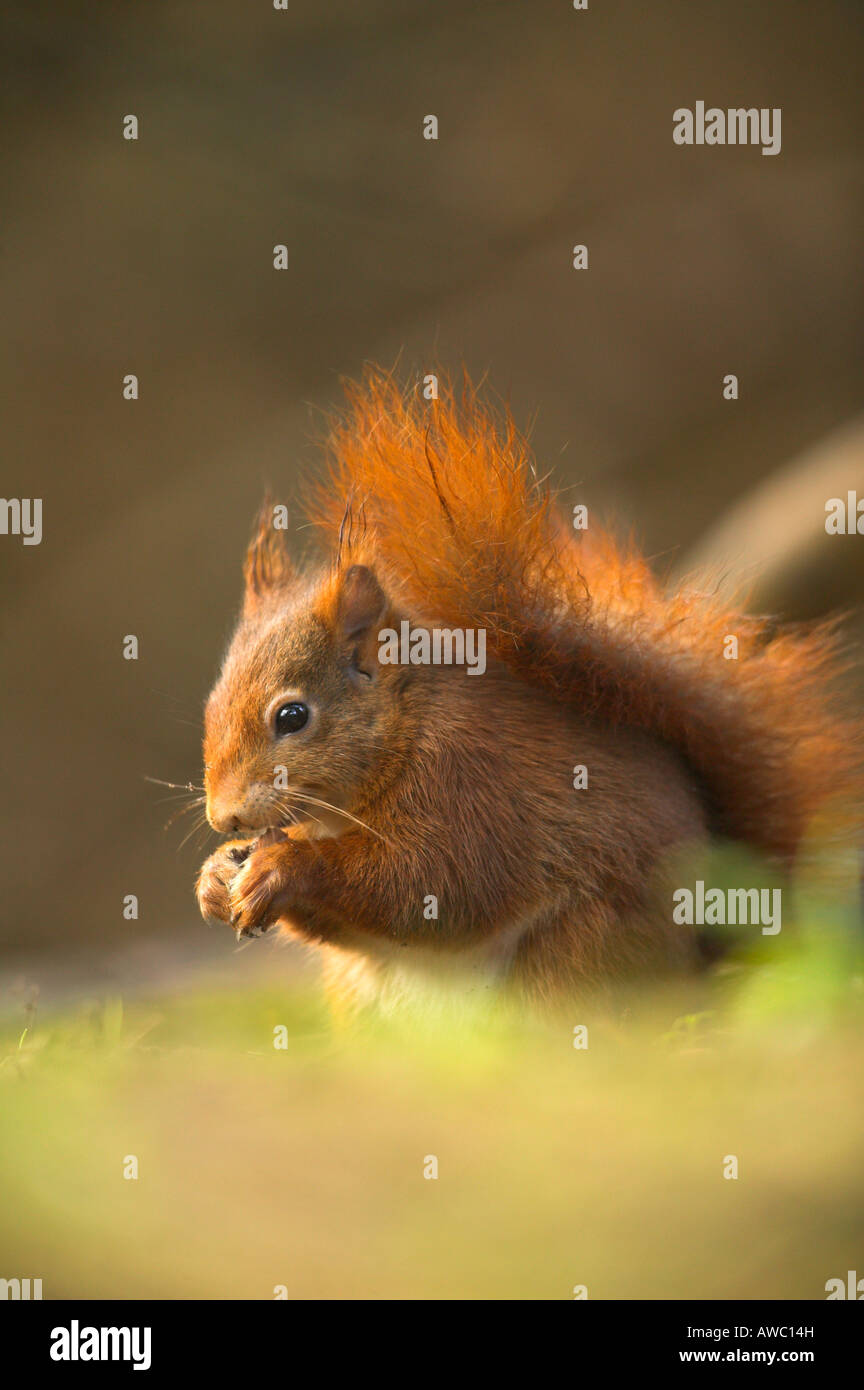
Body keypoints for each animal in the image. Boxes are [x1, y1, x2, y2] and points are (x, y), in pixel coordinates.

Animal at [195, 367, 861, 1015]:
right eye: (210, 708)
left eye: (292, 716)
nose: (224, 817)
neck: (404, 727)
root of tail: (704, 958)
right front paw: (214, 879)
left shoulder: (468, 784)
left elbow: (430, 883)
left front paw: (284, 865)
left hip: (574, 954)